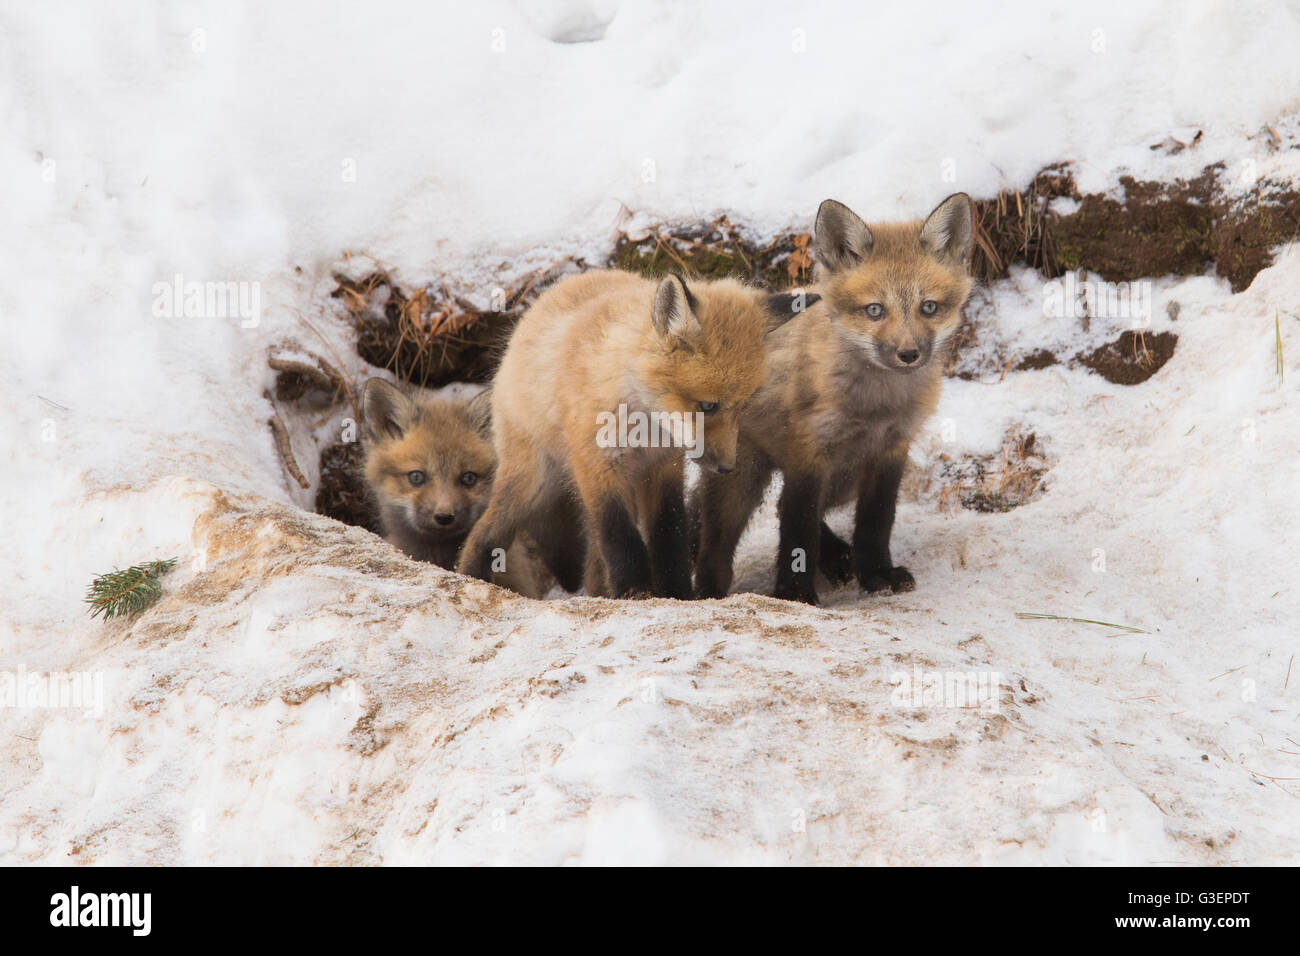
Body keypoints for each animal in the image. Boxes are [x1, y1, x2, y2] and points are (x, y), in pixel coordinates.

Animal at [457, 269, 813, 599]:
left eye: (742, 406)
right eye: (708, 405)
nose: (727, 467)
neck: (644, 424)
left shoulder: (664, 467)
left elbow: (669, 533)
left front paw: (677, 593)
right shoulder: (596, 465)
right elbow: (620, 536)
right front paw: (636, 591)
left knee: (593, 565)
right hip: (532, 482)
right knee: (485, 532)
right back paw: (469, 576)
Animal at [692, 193, 975, 605]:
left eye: (929, 307)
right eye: (875, 310)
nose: (908, 354)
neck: (875, 407)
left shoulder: (890, 451)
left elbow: (876, 522)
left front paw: (877, 575)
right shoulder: (808, 453)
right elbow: (799, 531)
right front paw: (794, 593)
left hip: (842, 479)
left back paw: (840, 558)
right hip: (740, 479)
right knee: (719, 545)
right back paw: (707, 593)